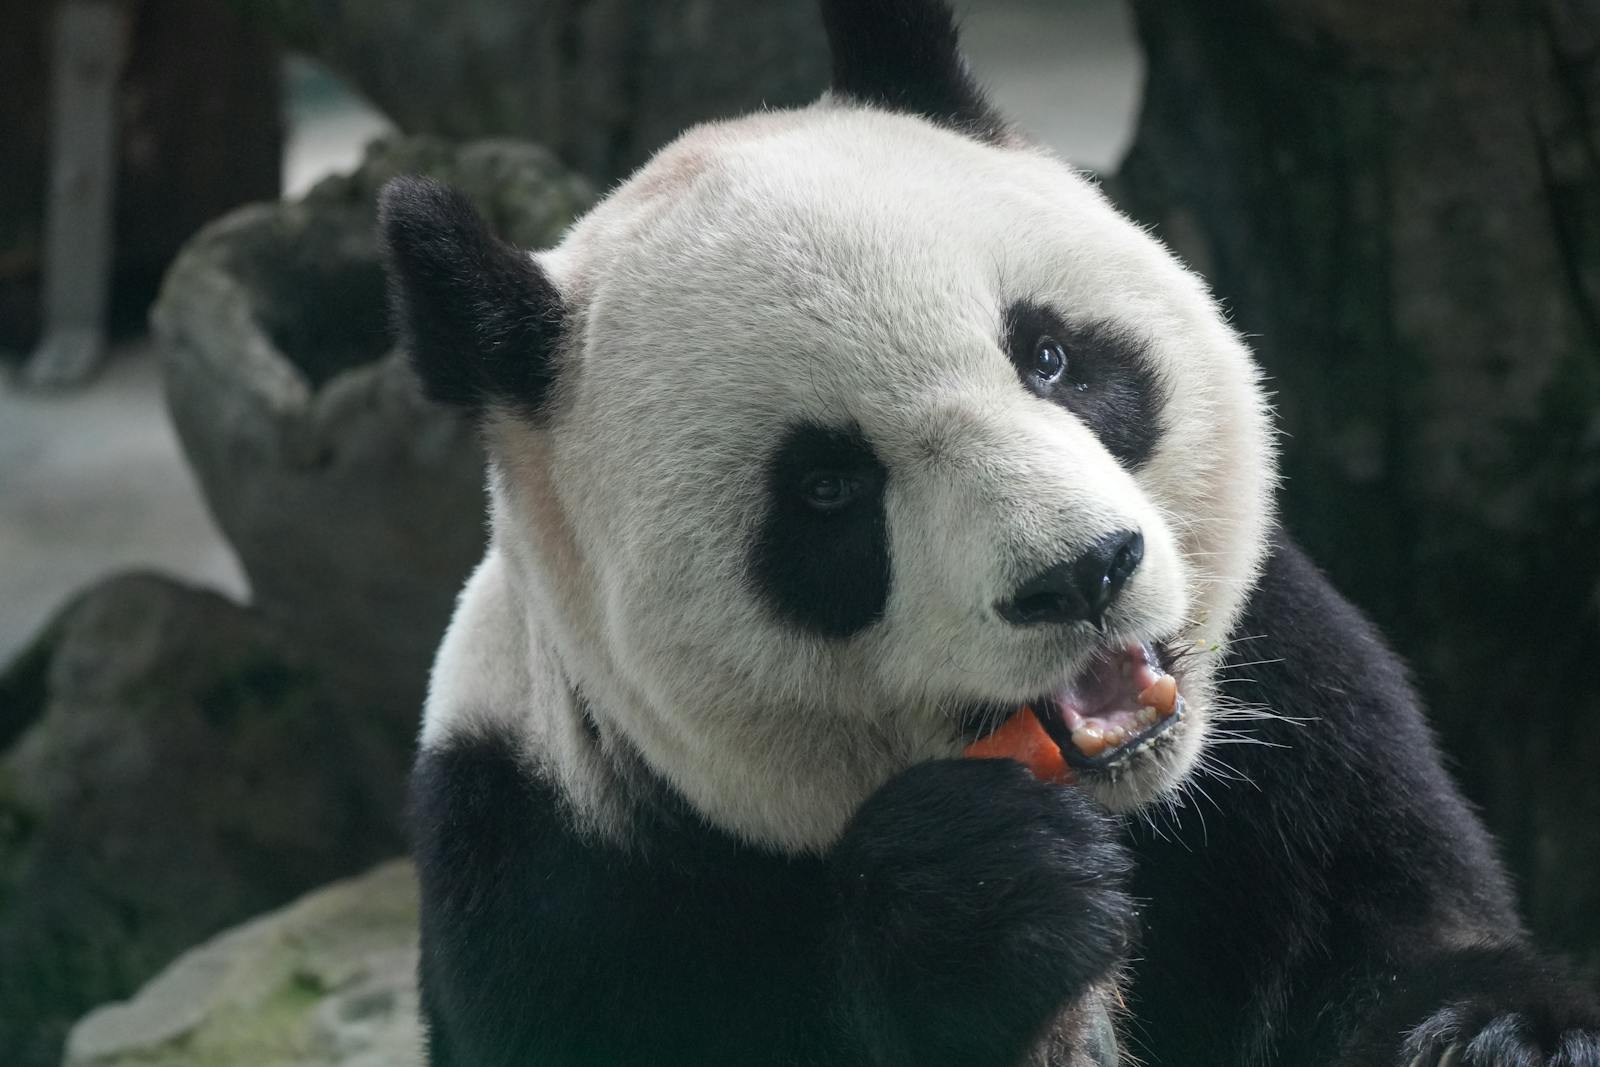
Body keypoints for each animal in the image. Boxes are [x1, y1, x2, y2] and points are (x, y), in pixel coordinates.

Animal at [380, 1, 1600, 1064]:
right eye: (828, 488)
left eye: (1049, 356)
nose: (1082, 573)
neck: (1134, 804)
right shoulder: (542, 860)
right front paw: (985, 896)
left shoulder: (1292, 711)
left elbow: (1395, 936)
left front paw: (1503, 1033)